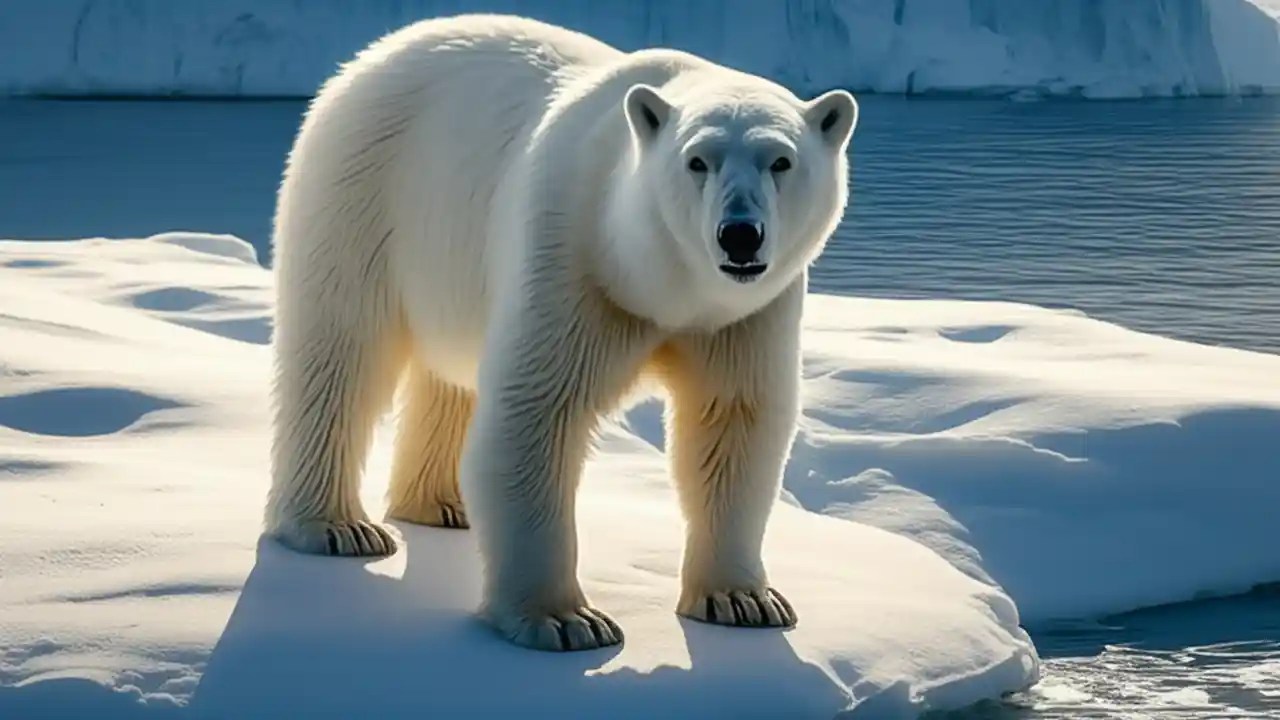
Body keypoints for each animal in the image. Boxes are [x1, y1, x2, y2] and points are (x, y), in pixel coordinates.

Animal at [265, 14, 856, 652]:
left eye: (781, 161)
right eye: (698, 161)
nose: (740, 234)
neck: (658, 280)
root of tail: (373, 56)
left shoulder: (745, 315)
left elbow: (735, 422)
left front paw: (744, 600)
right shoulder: (568, 254)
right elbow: (536, 413)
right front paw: (567, 621)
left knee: (449, 376)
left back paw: (442, 504)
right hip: (365, 192)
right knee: (342, 354)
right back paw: (336, 527)